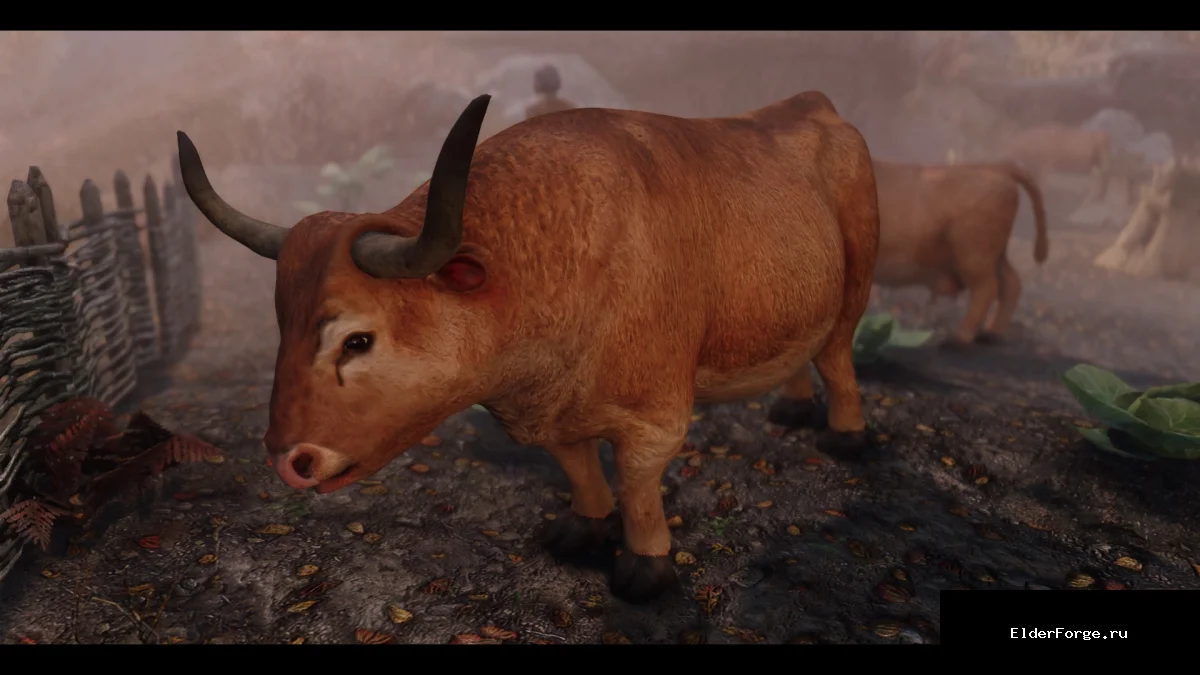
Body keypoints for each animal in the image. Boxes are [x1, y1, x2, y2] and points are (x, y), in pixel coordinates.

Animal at [175, 90, 880, 603]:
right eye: (282, 324)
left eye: (357, 339)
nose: (287, 460)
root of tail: (813, 106)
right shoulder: (552, 408)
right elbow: (576, 465)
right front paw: (583, 528)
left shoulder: (654, 414)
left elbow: (637, 480)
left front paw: (645, 568)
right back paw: (790, 408)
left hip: (855, 287)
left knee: (837, 358)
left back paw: (844, 436)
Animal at [871, 159, 1048, 345]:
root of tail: (997, 168)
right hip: (995, 256)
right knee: (1011, 283)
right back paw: (991, 332)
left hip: (973, 255)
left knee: (987, 288)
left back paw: (959, 336)